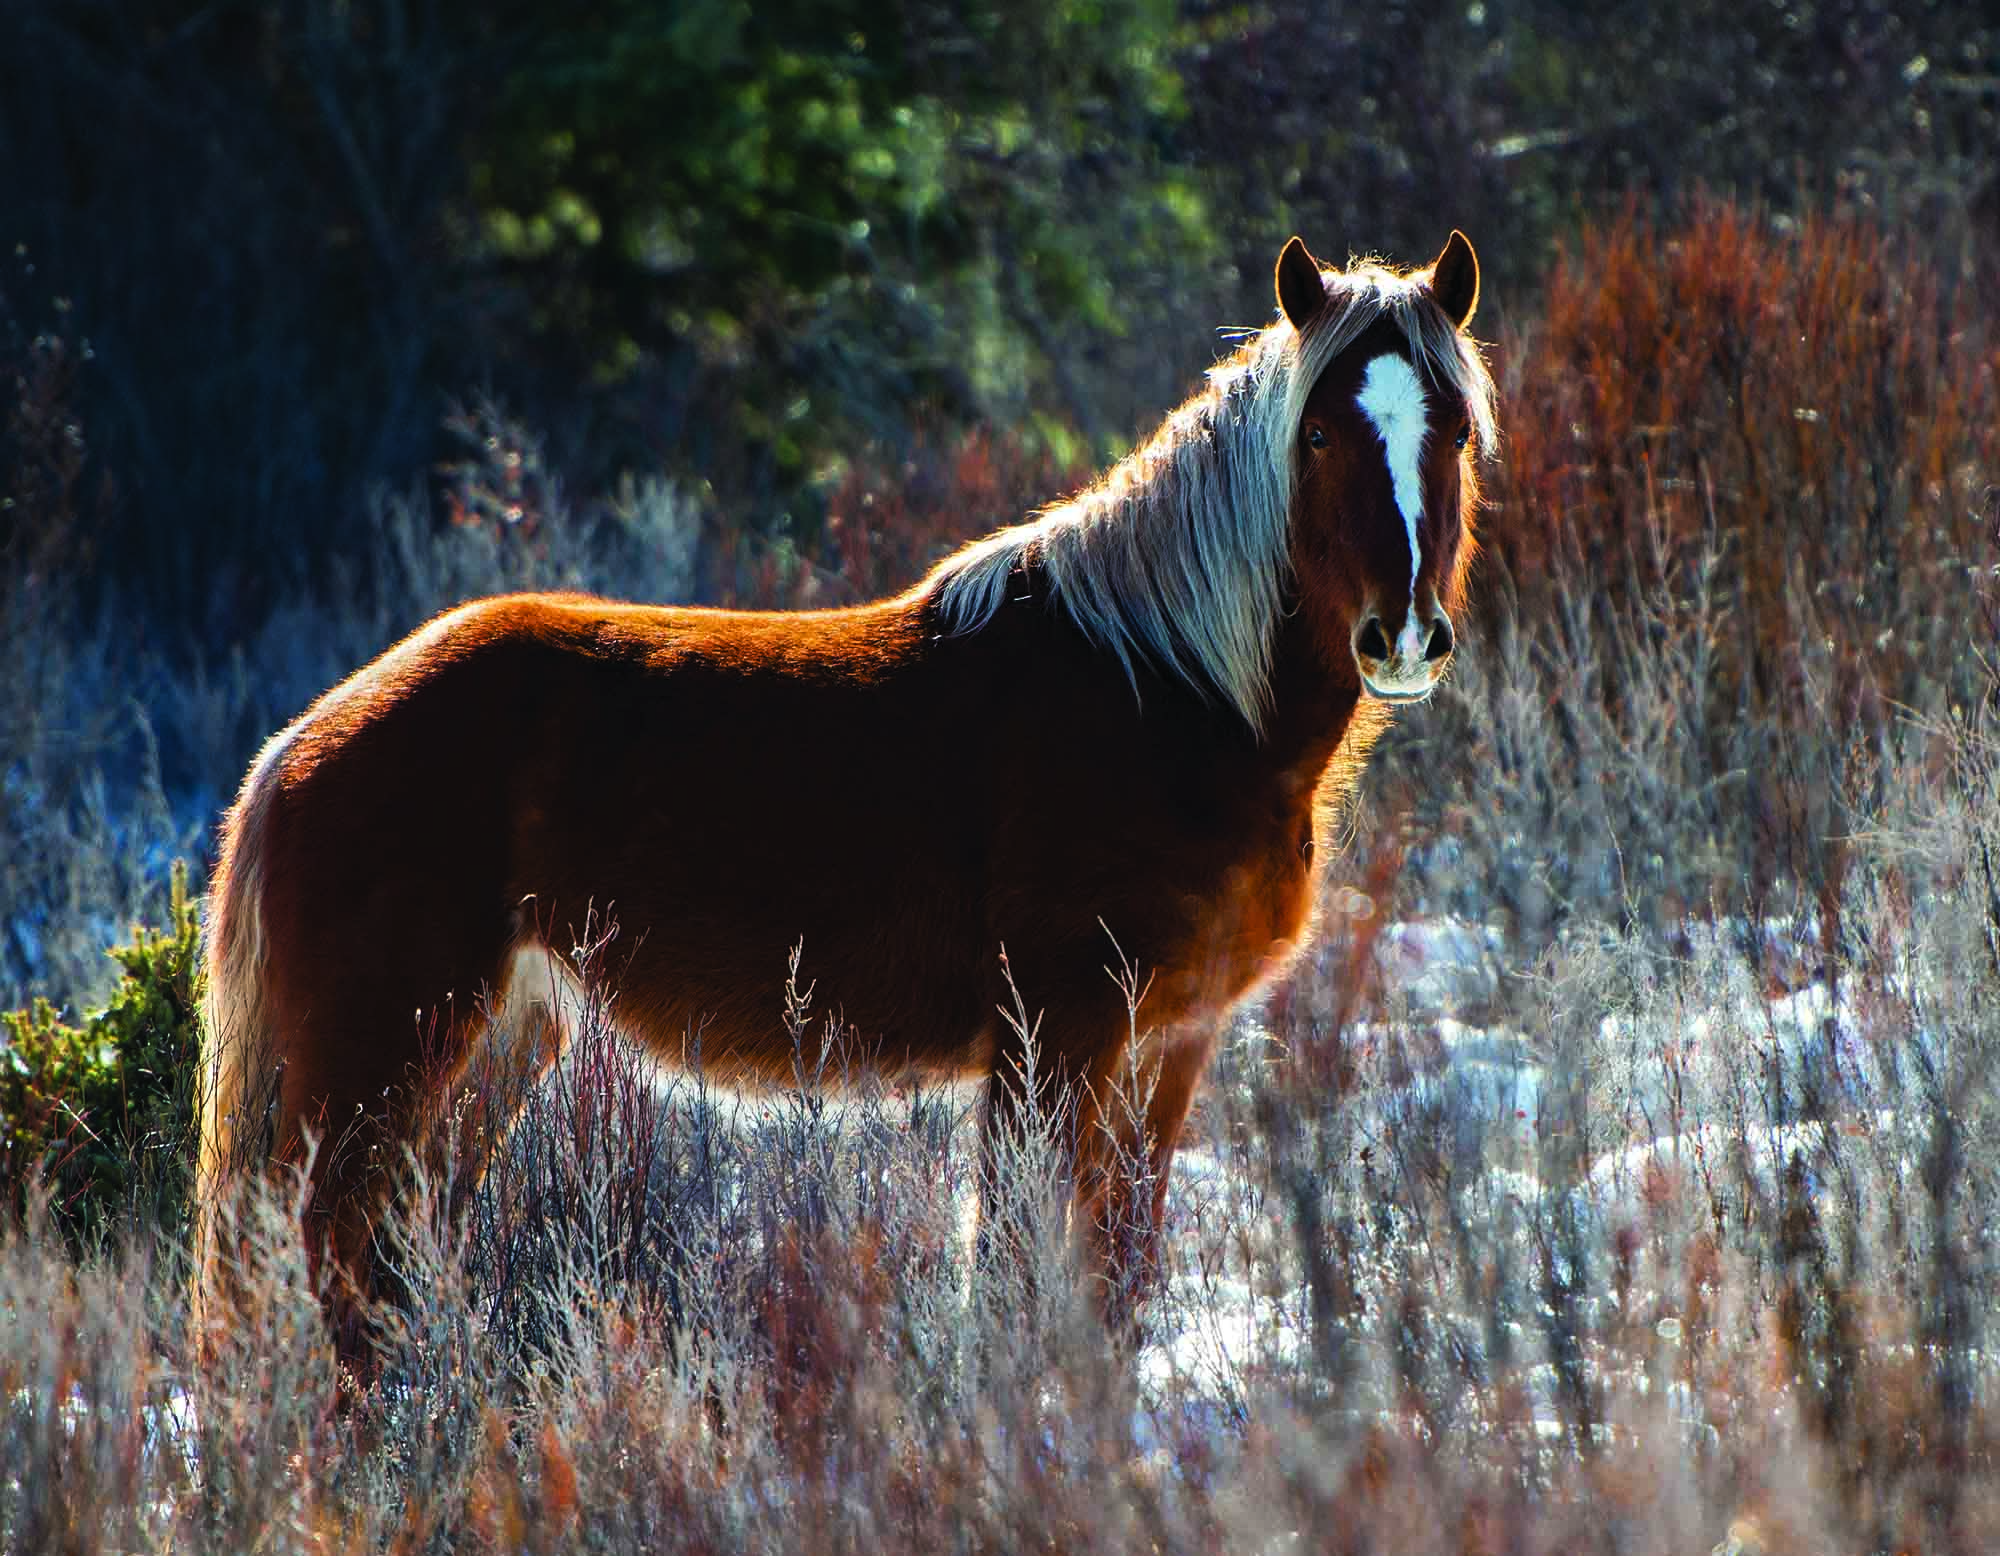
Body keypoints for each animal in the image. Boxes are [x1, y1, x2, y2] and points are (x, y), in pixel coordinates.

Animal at [194, 232, 1497, 1368]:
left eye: (1454, 433)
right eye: (1317, 431)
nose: (1401, 636)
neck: (1161, 687)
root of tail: (302, 743)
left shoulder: (1165, 1049)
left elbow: (1115, 1291)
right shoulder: (1052, 1045)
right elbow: (1017, 1290)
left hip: (495, 1044)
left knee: (373, 1278)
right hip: (374, 1061)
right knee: (315, 1271)